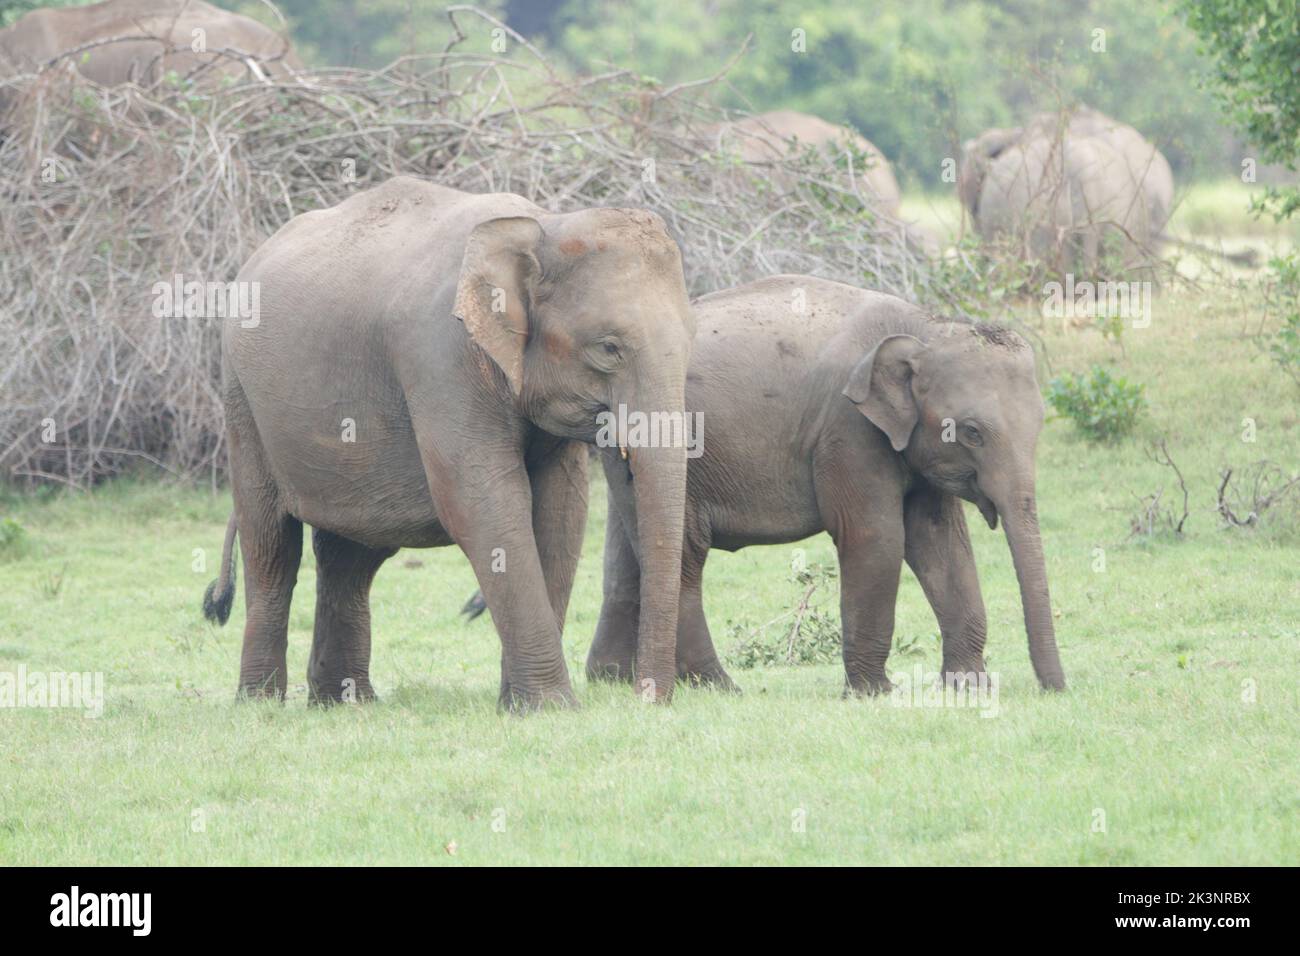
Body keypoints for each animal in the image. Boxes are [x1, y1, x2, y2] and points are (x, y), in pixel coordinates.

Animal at [201, 176, 695, 710]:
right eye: (608, 348)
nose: (646, 698)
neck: (542, 225)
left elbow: (562, 509)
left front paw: (518, 707)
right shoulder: (440, 356)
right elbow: (482, 502)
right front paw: (550, 708)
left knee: (349, 555)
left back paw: (347, 703)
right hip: (242, 400)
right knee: (271, 545)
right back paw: (260, 703)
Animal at [584, 274, 1066, 694]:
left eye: (1040, 424)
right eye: (970, 432)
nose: (1057, 689)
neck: (925, 328)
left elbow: (940, 542)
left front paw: (967, 688)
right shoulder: (847, 428)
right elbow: (876, 537)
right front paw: (874, 693)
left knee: (636, 550)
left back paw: (611, 680)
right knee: (685, 554)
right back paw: (718, 687)